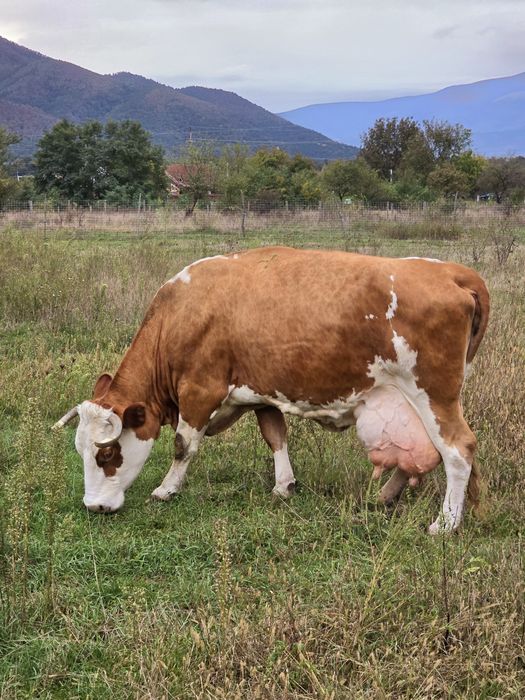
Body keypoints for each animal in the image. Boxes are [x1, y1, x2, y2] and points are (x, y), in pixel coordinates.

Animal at [54, 246, 489, 533]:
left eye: (107, 453)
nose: (94, 506)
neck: (182, 313)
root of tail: (451, 272)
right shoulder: (262, 392)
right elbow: (276, 435)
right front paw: (284, 485)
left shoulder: (200, 390)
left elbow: (182, 445)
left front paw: (166, 489)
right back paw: (389, 498)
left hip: (432, 393)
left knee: (458, 449)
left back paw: (446, 523)